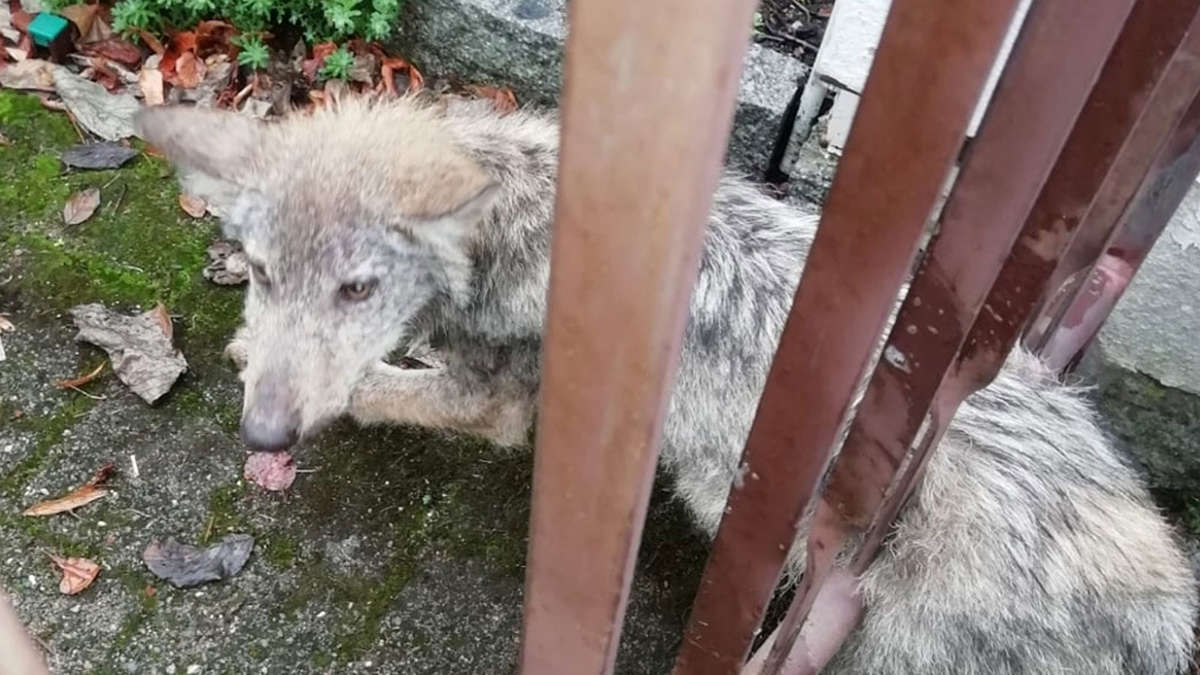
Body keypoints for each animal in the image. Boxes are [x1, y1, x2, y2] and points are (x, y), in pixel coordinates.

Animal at [136, 95, 1197, 674]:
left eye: (357, 288)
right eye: (263, 271)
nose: (264, 438)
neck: (522, 219)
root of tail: (1165, 596)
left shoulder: (495, 402)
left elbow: (373, 386)